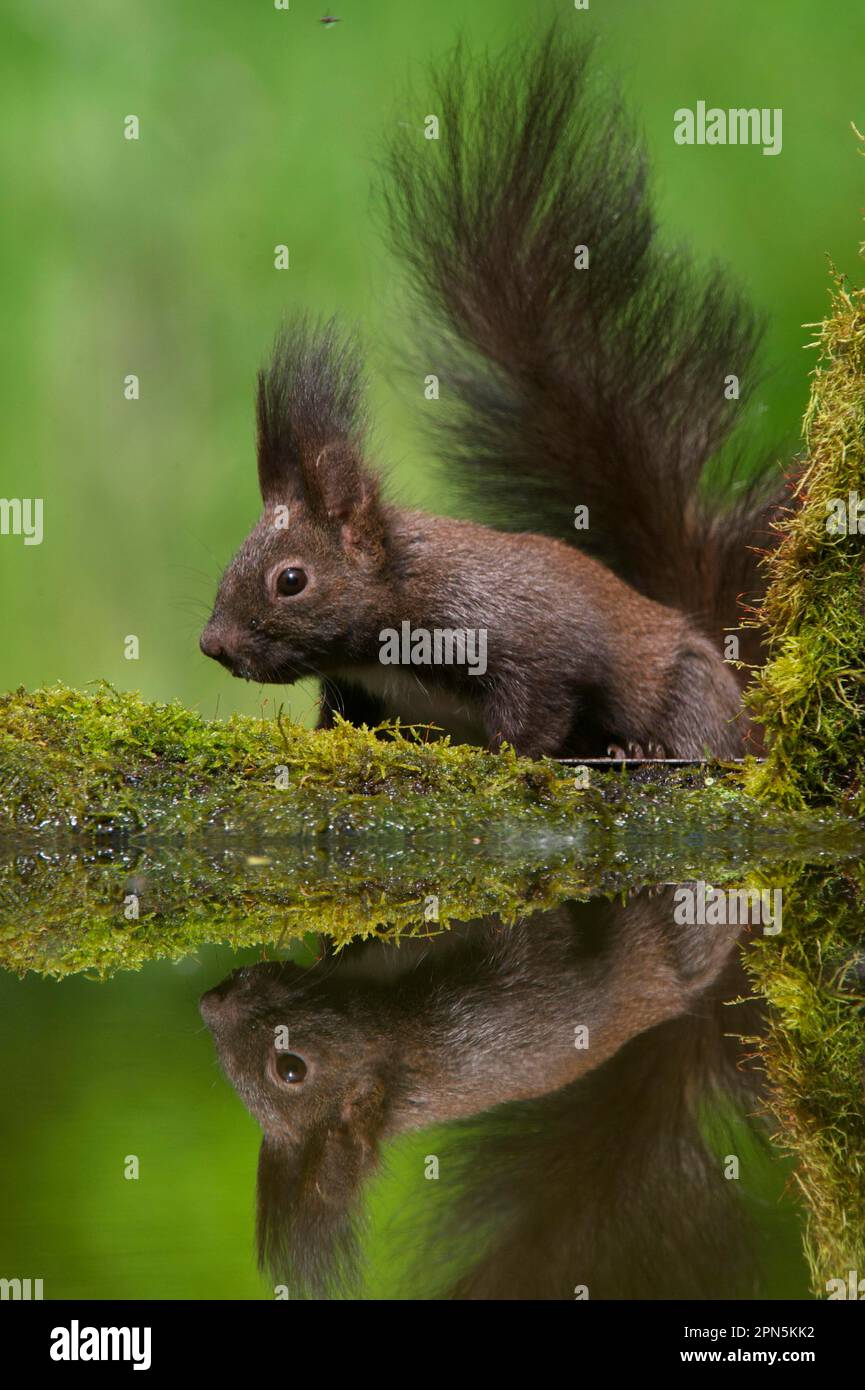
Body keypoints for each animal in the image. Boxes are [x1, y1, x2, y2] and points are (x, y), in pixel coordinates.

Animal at [200, 30, 789, 760]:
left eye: (290, 580)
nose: (213, 644)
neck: (380, 639)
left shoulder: (525, 642)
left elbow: (537, 710)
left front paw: (516, 754)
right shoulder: (359, 691)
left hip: (686, 685)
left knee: (701, 733)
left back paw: (645, 751)